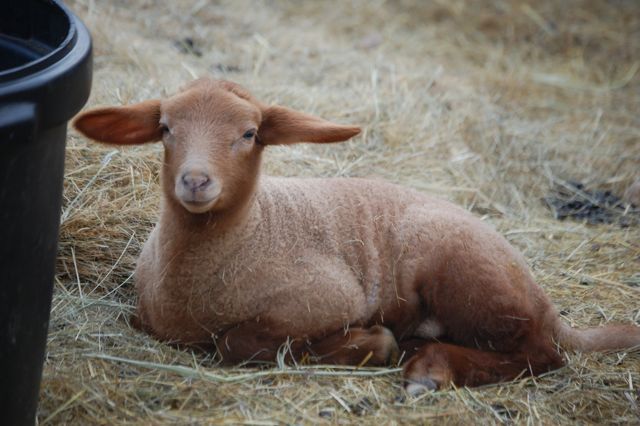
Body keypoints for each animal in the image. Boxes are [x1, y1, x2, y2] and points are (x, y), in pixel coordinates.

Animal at [73, 78, 640, 394]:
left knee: (542, 355)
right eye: (166, 128)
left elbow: (238, 341)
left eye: (250, 134)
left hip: (466, 274)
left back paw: (428, 371)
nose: (195, 181)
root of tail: (545, 300)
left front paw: (368, 343)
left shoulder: (327, 296)